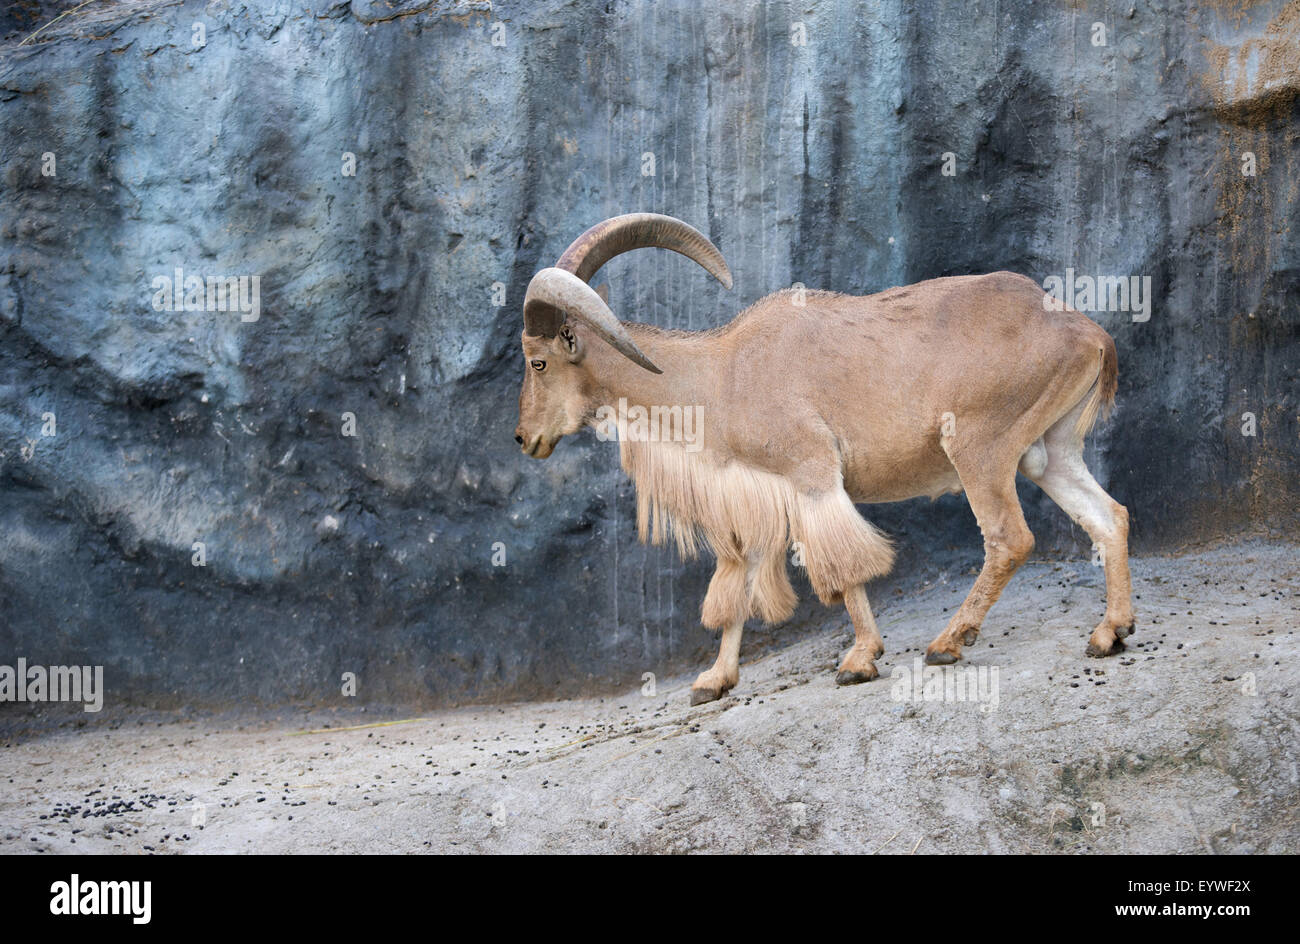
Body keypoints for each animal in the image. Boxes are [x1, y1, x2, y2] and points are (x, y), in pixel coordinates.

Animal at [515, 213, 1133, 705]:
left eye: (537, 362)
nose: (524, 438)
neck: (721, 376)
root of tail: (1087, 331)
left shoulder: (811, 474)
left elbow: (843, 565)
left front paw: (859, 660)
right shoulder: (756, 493)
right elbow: (739, 580)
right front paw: (714, 680)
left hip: (980, 447)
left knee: (1010, 538)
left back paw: (947, 643)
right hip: (1048, 452)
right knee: (1109, 517)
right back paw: (1111, 631)